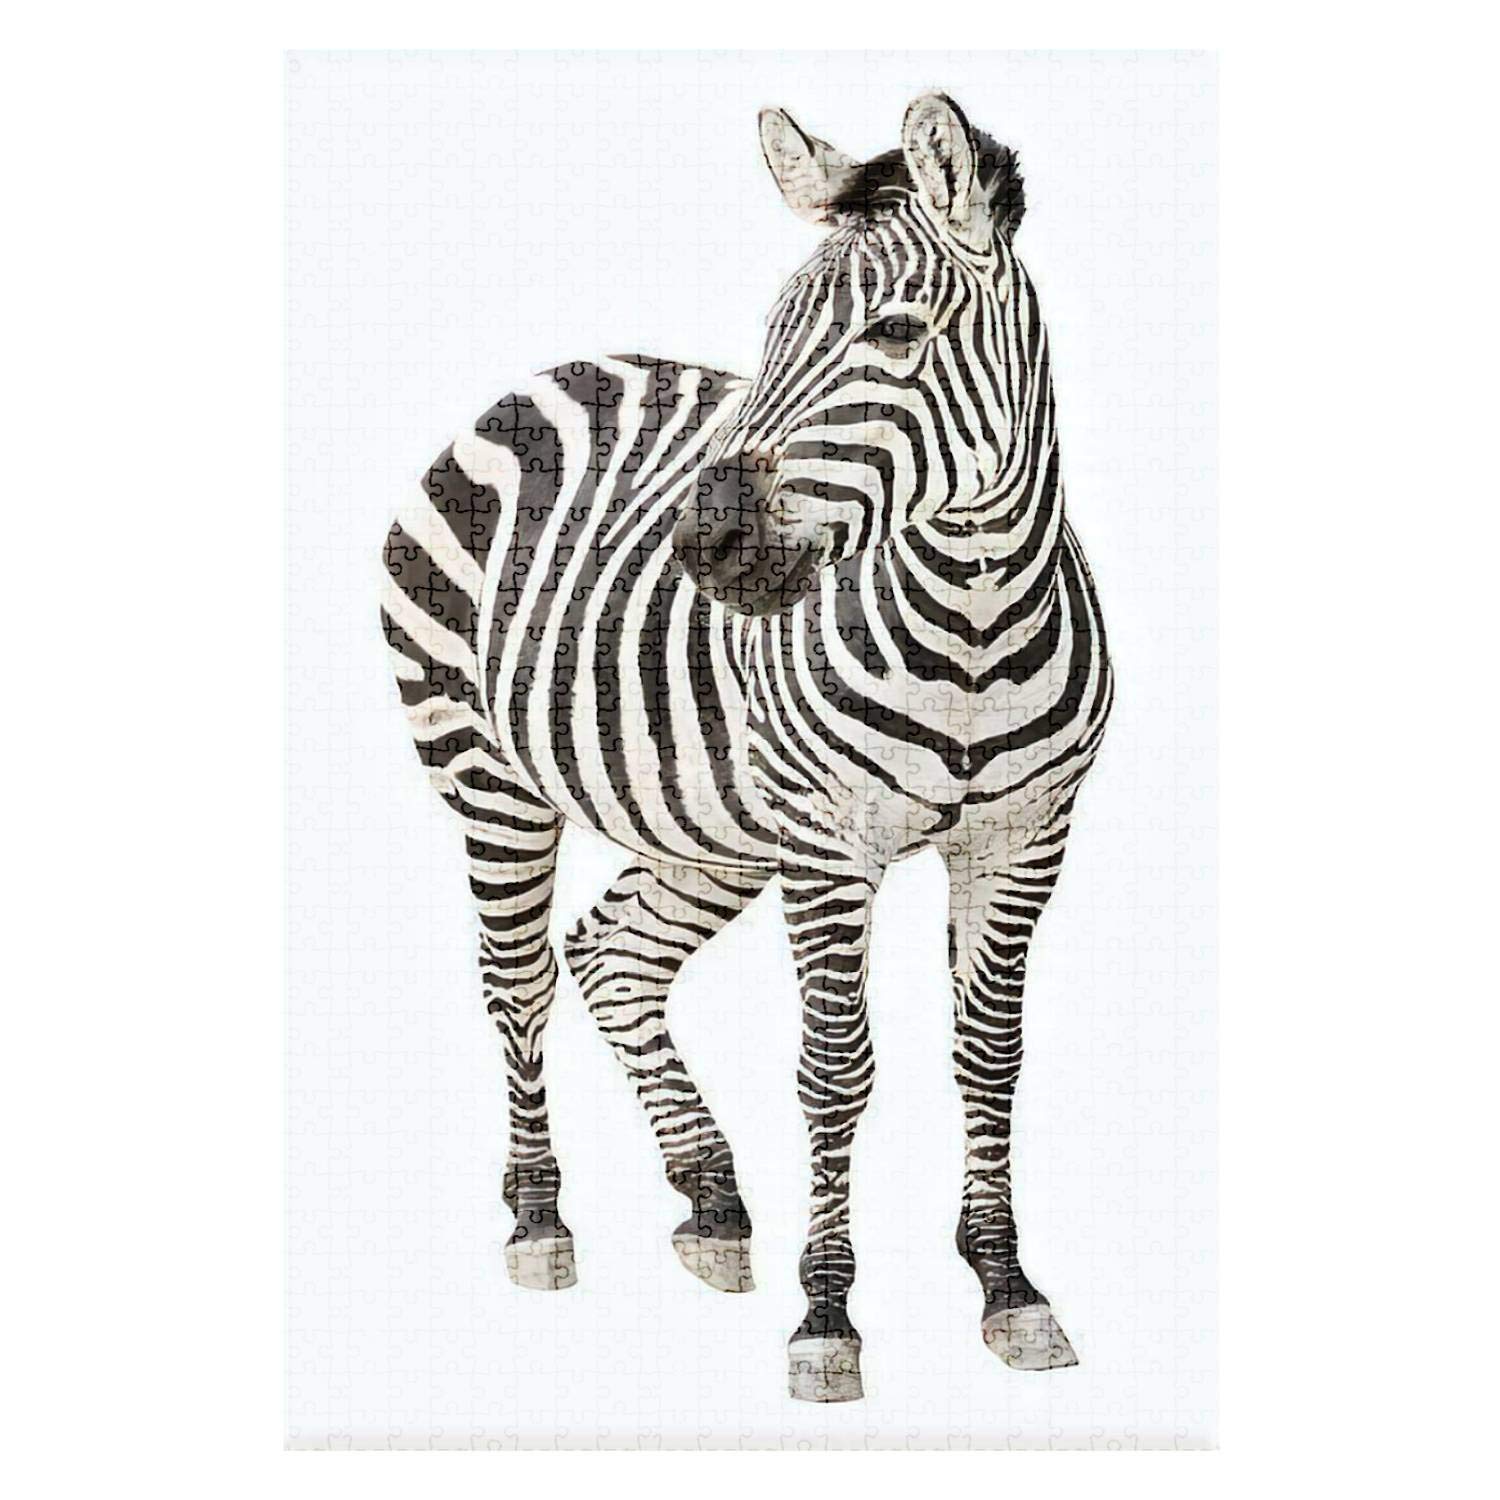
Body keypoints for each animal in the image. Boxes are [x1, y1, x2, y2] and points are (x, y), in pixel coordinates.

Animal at [381, 92, 1112, 1402]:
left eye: (894, 331)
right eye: (770, 334)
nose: (702, 549)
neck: (975, 623)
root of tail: (532, 380)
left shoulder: (1025, 839)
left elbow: (991, 1057)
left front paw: (1008, 1288)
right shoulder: (828, 852)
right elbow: (836, 1071)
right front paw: (826, 1318)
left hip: (703, 821)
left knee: (610, 954)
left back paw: (715, 1201)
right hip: (485, 773)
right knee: (517, 980)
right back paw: (541, 1219)